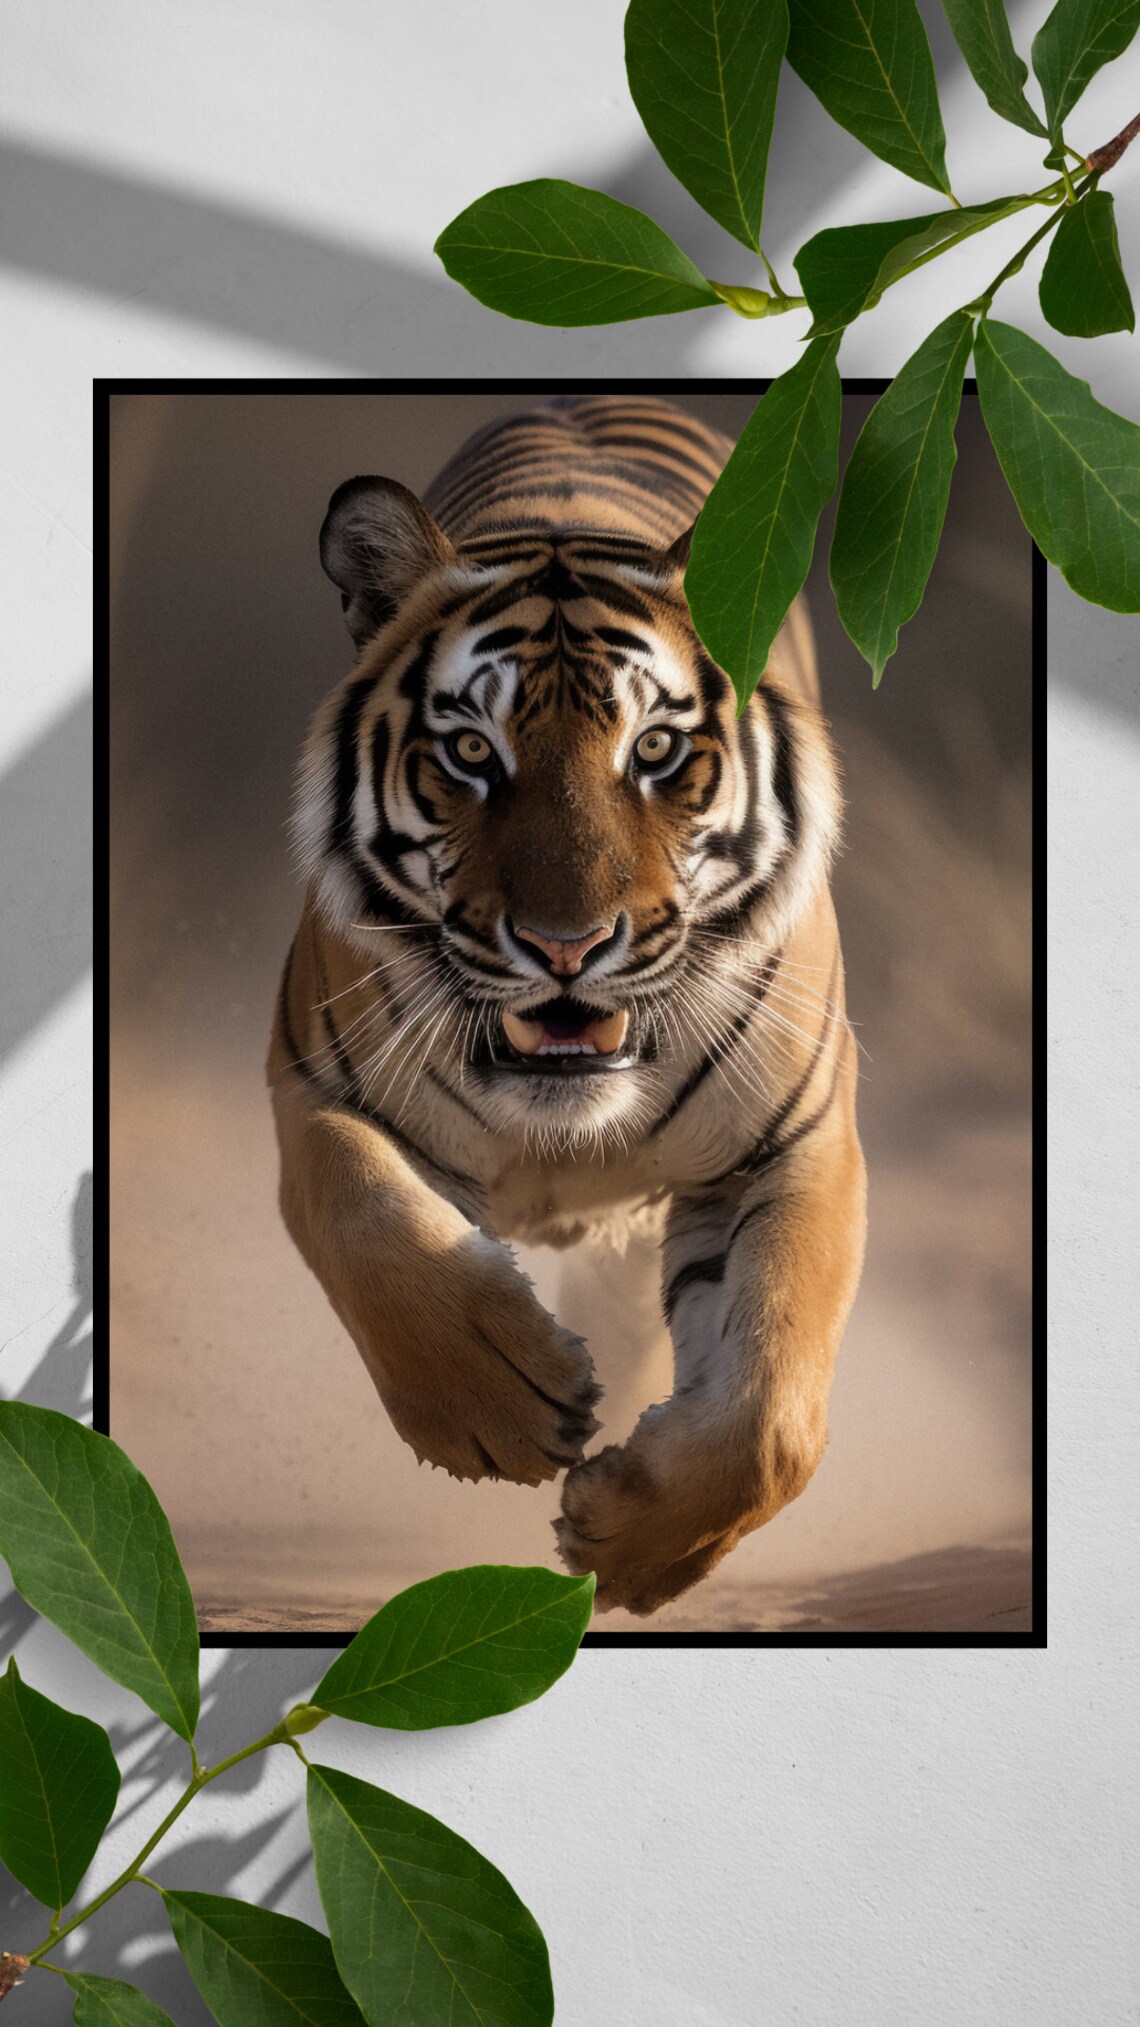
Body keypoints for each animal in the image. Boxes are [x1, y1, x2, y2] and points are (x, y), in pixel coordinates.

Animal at [268, 394, 867, 1617]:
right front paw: (500, 1408)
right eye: (469, 750)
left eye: (657, 748)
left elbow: (772, 1408)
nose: (565, 947)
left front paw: (630, 1545)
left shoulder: (797, 1141)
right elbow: (368, 1218)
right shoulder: (315, 1083)